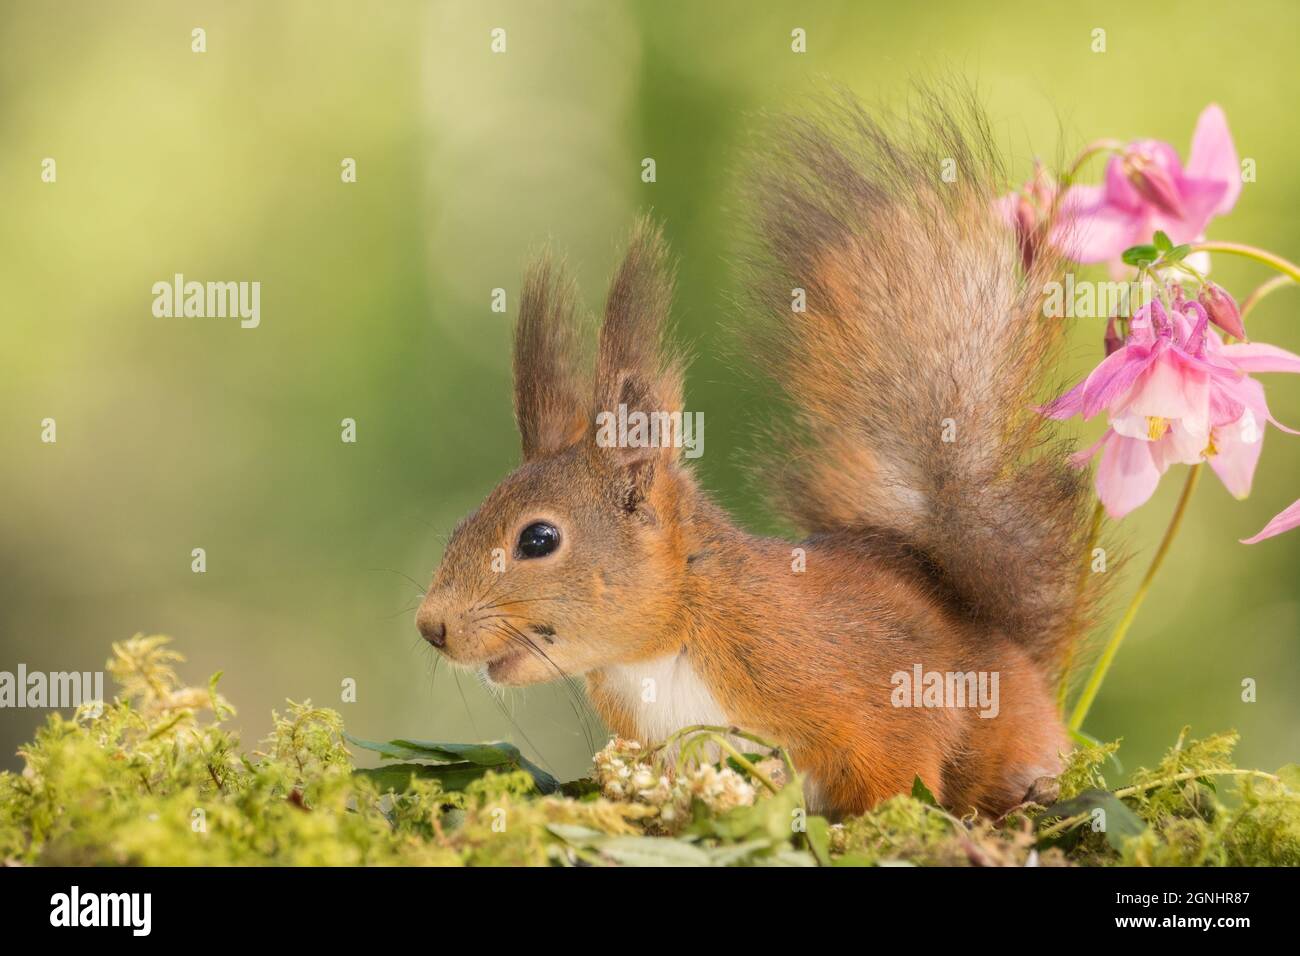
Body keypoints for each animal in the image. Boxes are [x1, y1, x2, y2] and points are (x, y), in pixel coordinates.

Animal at [416, 92, 1103, 817]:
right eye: (460, 525)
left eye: (538, 539)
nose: (431, 626)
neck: (662, 646)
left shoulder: (865, 686)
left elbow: (898, 764)